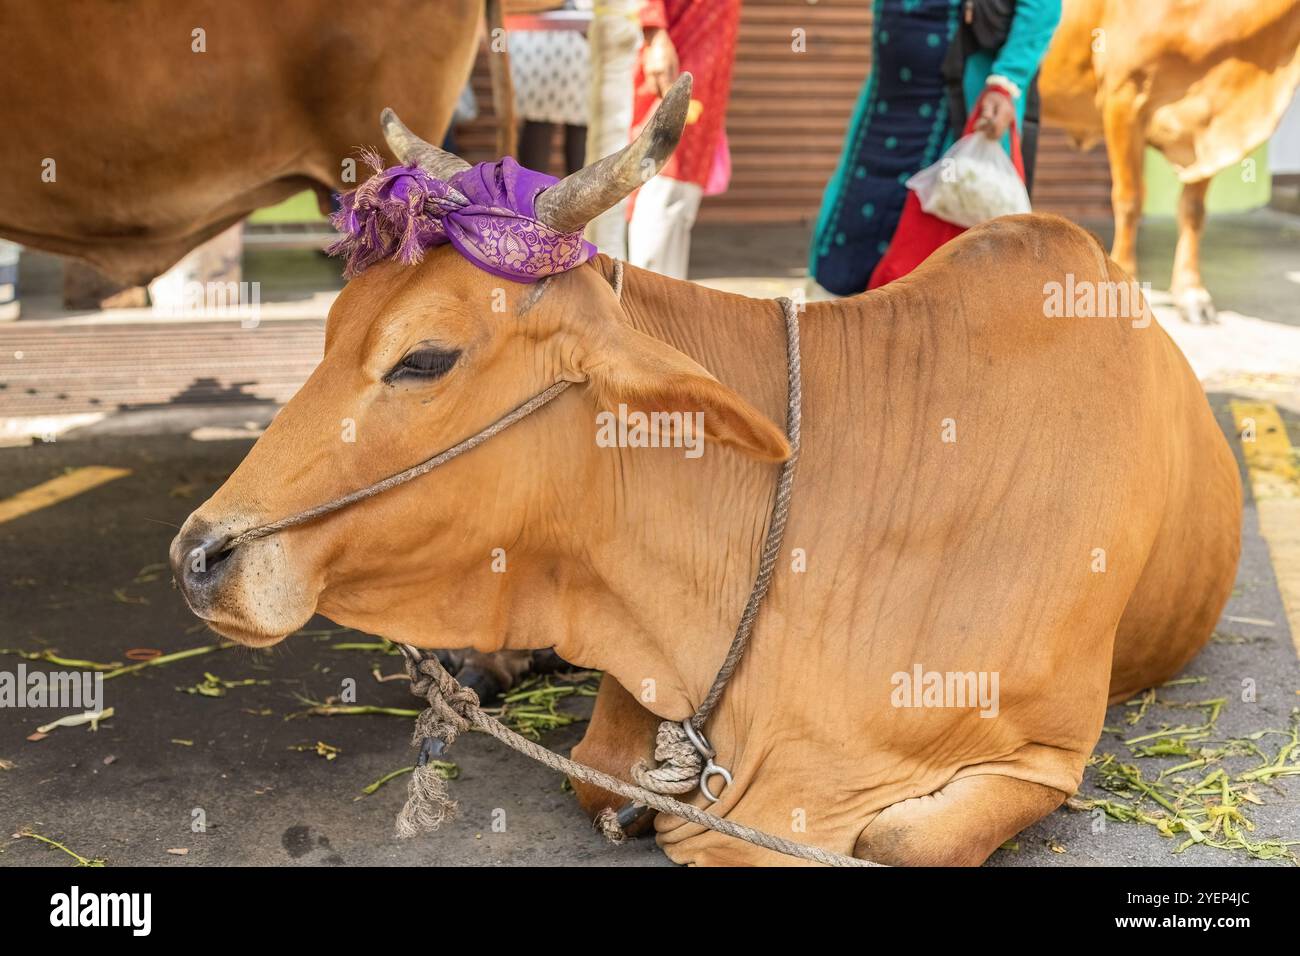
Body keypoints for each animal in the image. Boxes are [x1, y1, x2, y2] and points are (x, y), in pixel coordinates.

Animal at [171, 77, 1241, 865]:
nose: (198, 557)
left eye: (423, 359)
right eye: (329, 330)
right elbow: (596, 771)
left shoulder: (1044, 756)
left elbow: (898, 840)